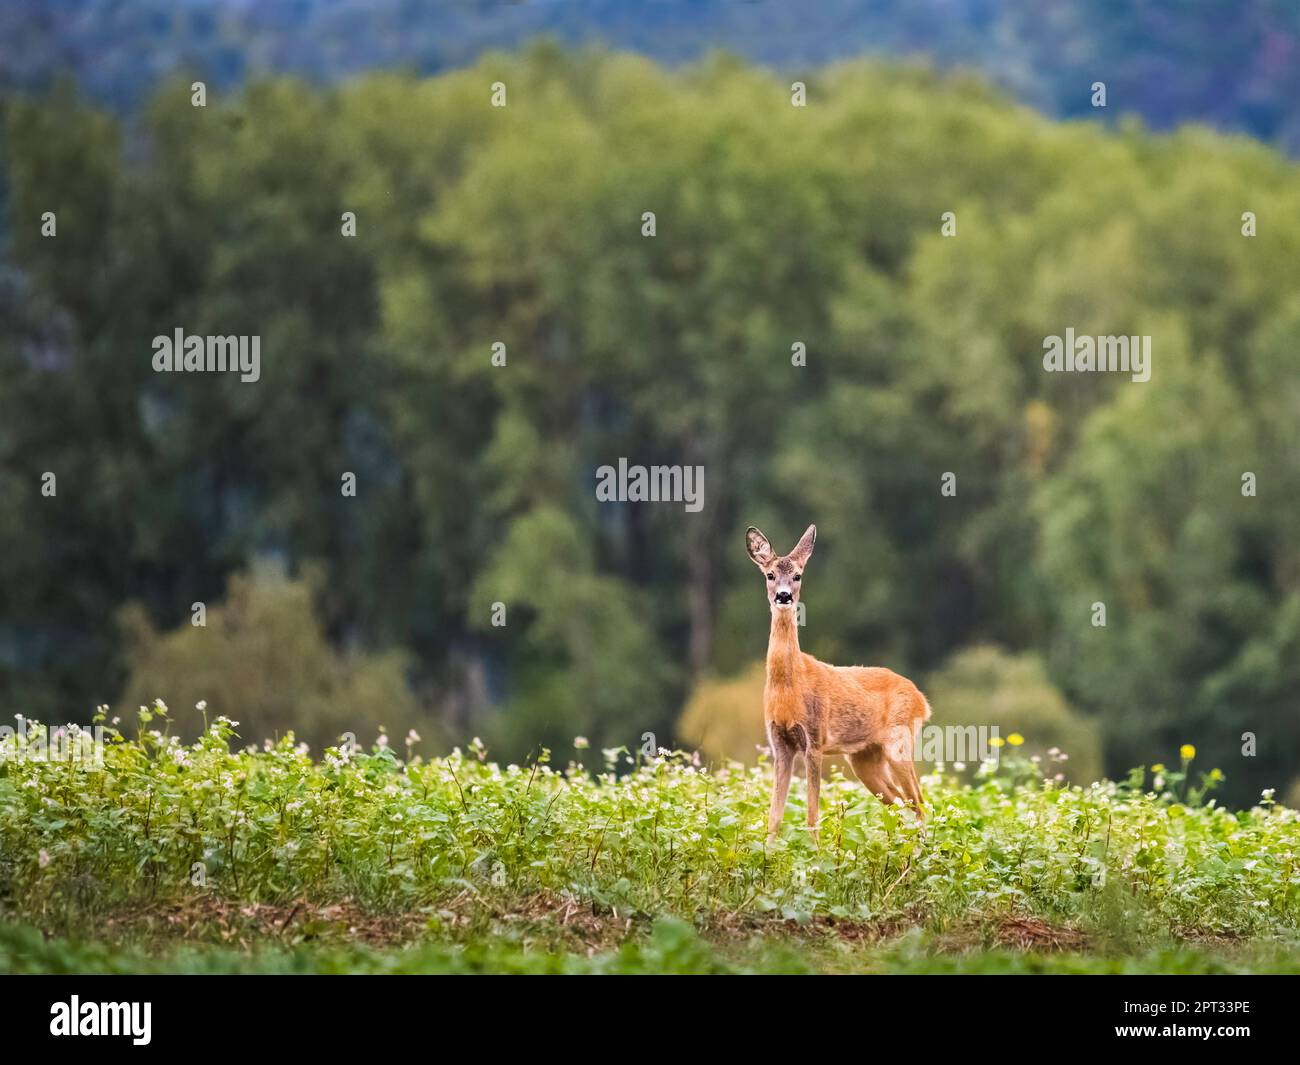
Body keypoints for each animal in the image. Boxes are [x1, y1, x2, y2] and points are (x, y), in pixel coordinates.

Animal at [746, 524, 931, 840]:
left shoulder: (815, 739)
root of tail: (922, 700)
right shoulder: (780, 744)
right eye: (769, 574)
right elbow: (774, 818)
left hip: (899, 741)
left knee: (919, 804)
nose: (783, 595)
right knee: (900, 804)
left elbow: (811, 815)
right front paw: (767, 851)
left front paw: (815, 852)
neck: (788, 687)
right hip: (864, 758)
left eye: (798, 575)